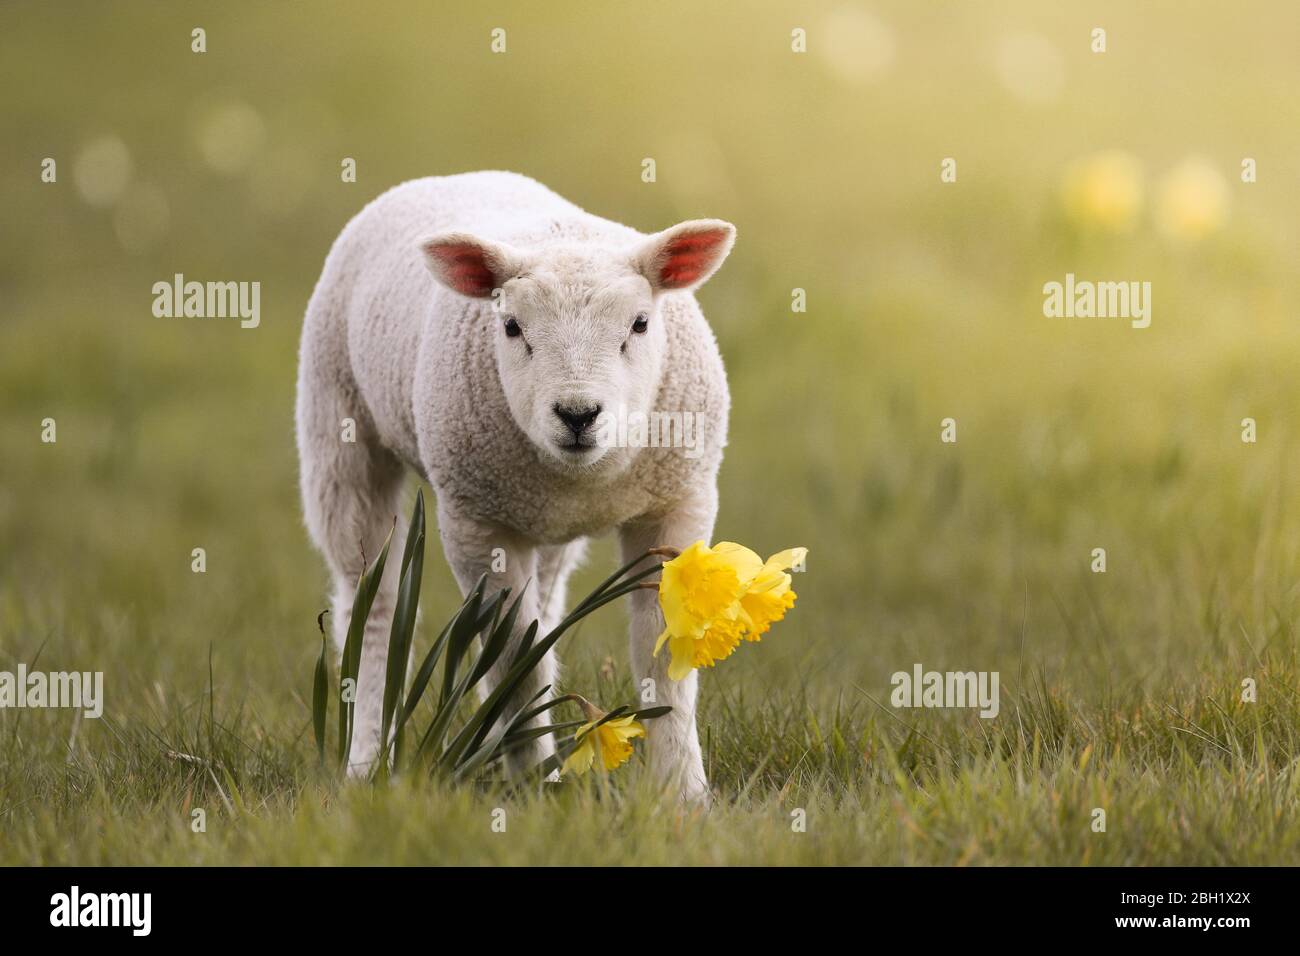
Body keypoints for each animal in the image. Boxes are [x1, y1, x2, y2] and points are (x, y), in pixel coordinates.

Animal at [295, 171, 735, 801]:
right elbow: (516, 659)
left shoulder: (678, 504)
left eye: (640, 324)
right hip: (341, 431)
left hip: (541, 524)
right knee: (371, 605)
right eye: (511, 327)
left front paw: (682, 793)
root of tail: (453, 175)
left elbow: (663, 657)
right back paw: (367, 762)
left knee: (544, 606)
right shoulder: (478, 521)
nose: (577, 414)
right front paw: (534, 784)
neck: (586, 475)